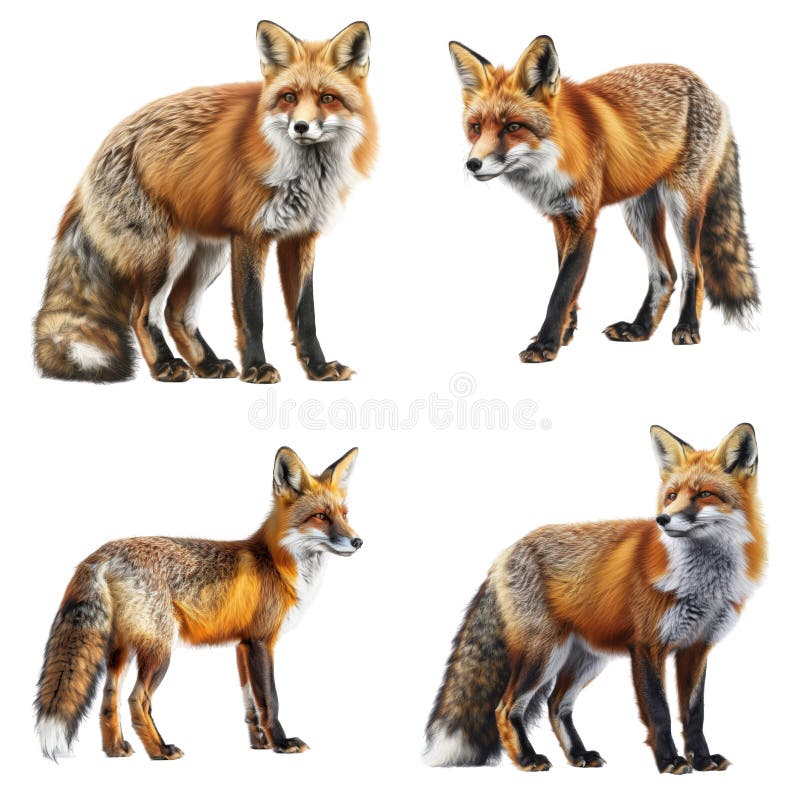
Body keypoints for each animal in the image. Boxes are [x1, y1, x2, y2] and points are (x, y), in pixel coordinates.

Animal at [34, 21, 377, 383]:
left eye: (327, 98)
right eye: (289, 97)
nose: (300, 126)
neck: (303, 175)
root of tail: (98, 155)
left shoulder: (300, 237)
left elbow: (305, 315)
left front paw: (319, 368)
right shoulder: (250, 235)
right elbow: (252, 313)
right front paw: (257, 367)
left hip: (208, 255)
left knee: (177, 312)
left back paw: (207, 364)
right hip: (165, 255)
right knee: (141, 314)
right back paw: (165, 365)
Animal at [34, 446, 361, 760]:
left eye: (345, 515)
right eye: (321, 516)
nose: (358, 541)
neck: (277, 562)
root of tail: (101, 554)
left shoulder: (242, 644)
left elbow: (250, 704)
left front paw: (260, 744)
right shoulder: (261, 640)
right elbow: (270, 700)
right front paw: (281, 743)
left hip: (122, 651)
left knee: (108, 700)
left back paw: (116, 749)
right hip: (160, 650)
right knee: (137, 700)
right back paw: (160, 751)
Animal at [425, 424, 764, 774]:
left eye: (704, 494)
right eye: (671, 496)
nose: (663, 519)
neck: (702, 585)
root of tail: (504, 554)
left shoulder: (696, 647)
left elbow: (695, 714)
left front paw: (703, 759)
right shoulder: (647, 646)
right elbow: (660, 712)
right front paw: (670, 760)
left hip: (585, 659)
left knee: (555, 704)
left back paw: (578, 754)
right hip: (543, 654)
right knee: (504, 708)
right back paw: (527, 758)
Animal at [448, 37, 758, 363]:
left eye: (512, 127)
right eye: (476, 127)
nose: (473, 164)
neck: (556, 158)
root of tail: (709, 89)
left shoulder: (584, 222)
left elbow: (561, 290)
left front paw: (545, 345)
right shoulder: (560, 218)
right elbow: (569, 287)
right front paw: (564, 335)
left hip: (682, 204)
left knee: (693, 270)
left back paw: (687, 327)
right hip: (638, 213)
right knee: (665, 273)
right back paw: (639, 329)